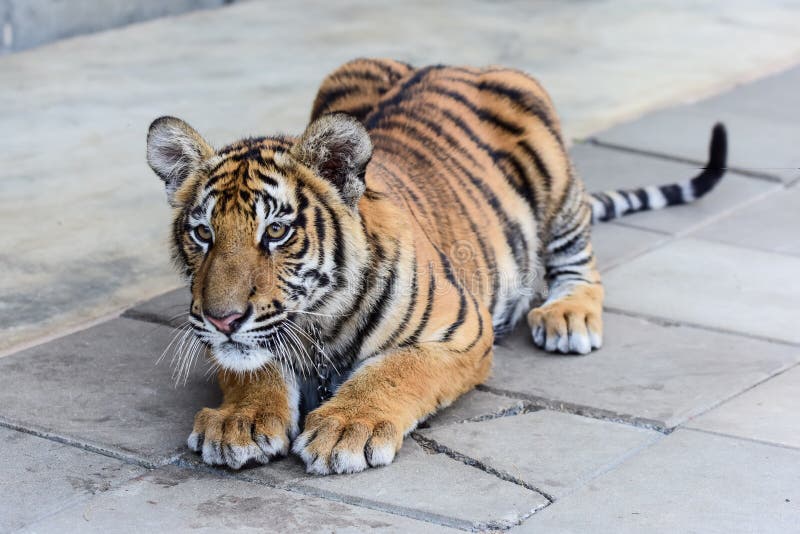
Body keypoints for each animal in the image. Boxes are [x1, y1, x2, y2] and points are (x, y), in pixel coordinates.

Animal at [146, 58, 726, 474]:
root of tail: (451, 64)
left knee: (581, 260)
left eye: (276, 232)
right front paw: (240, 422)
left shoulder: (463, 330)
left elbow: (397, 371)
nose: (222, 318)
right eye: (203, 234)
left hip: (554, 173)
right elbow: (253, 366)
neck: (319, 328)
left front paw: (345, 428)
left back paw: (568, 318)